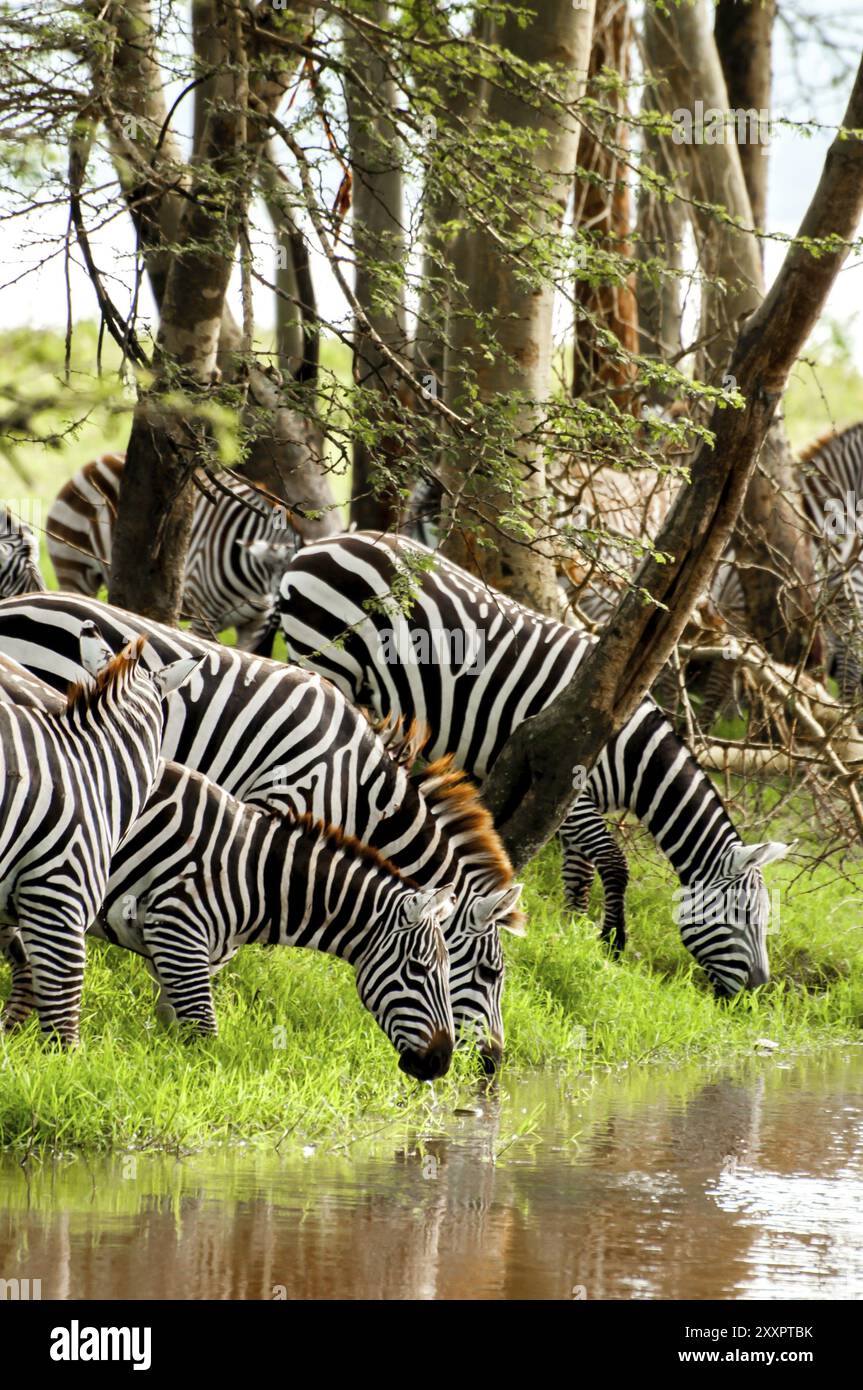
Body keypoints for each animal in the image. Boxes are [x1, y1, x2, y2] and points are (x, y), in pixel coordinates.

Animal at [274, 532, 789, 998]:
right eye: (746, 916)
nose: (757, 992)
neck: (634, 754)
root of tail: (324, 542)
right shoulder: (570, 786)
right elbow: (614, 863)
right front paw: (612, 943)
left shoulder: (571, 807)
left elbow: (578, 875)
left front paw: (571, 935)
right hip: (327, 656)